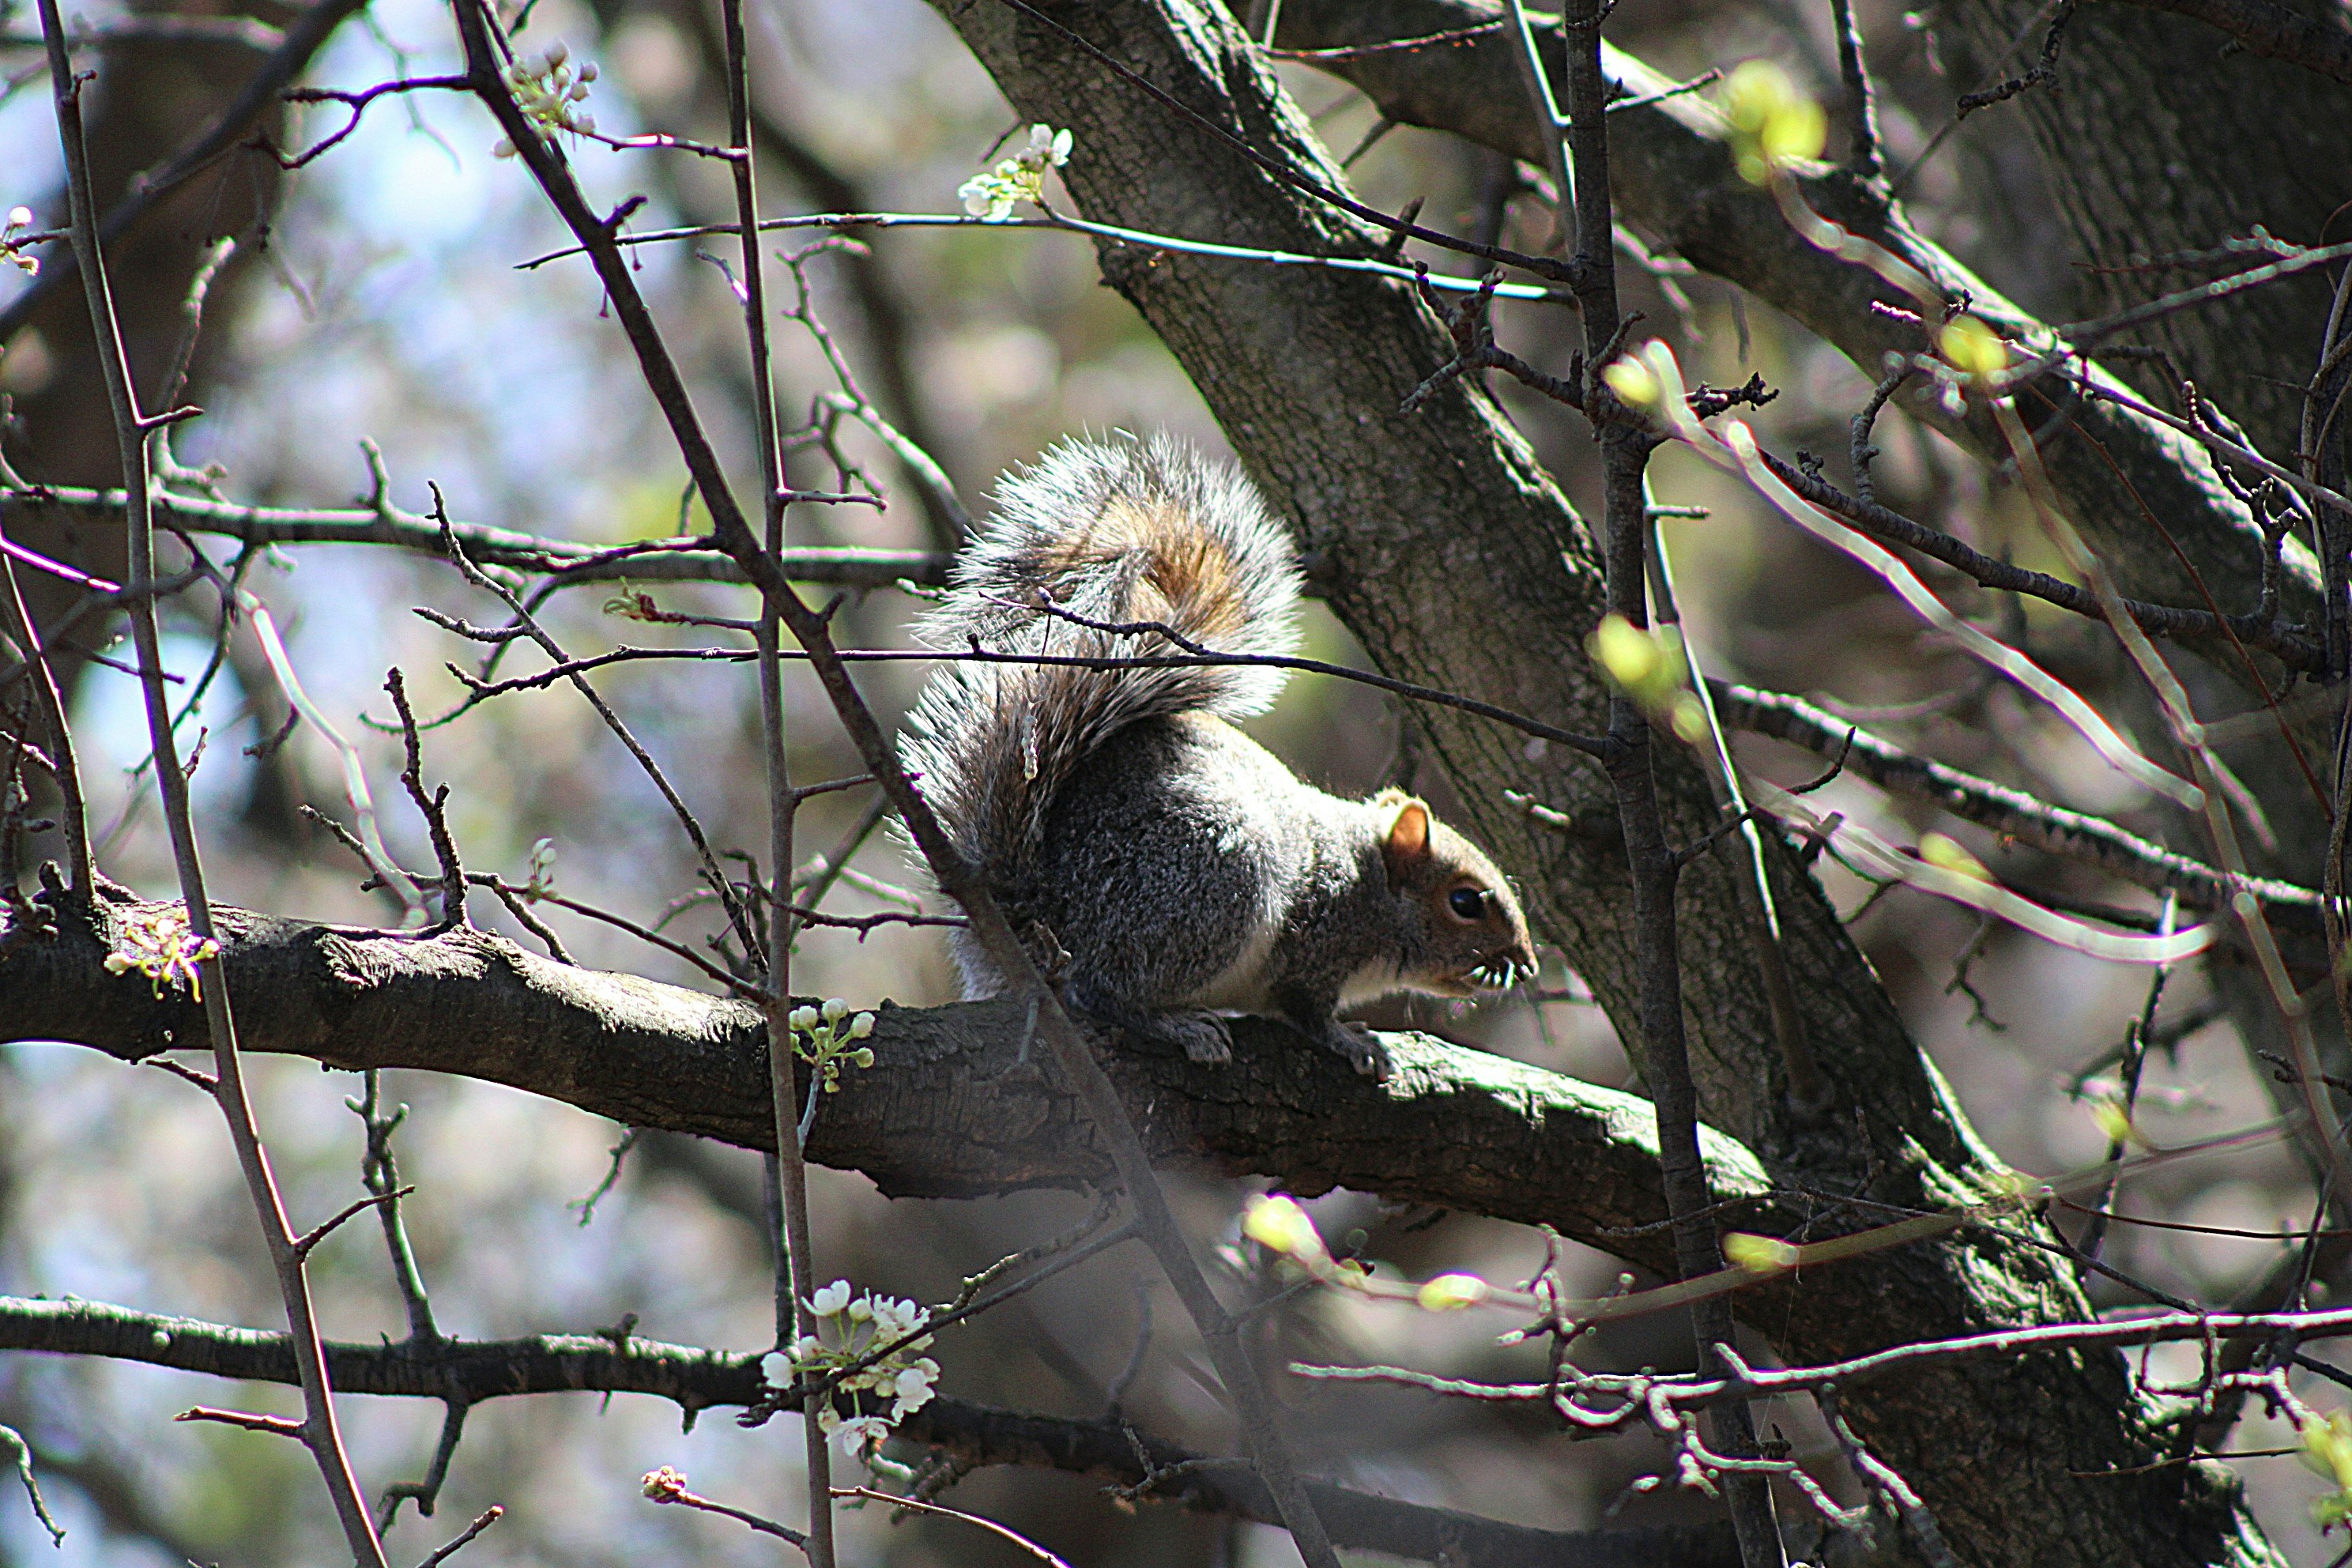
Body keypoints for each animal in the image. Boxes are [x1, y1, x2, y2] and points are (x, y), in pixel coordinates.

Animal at [900, 435, 1537, 1081]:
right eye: (1465, 902)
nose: (1527, 965)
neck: (1369, 884)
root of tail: (1034, 911)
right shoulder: (1315, 947)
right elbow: (1308, 1011)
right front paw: (1352, 1040)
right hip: (1215, 883)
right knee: (1098, 989)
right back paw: (1177, 1024)